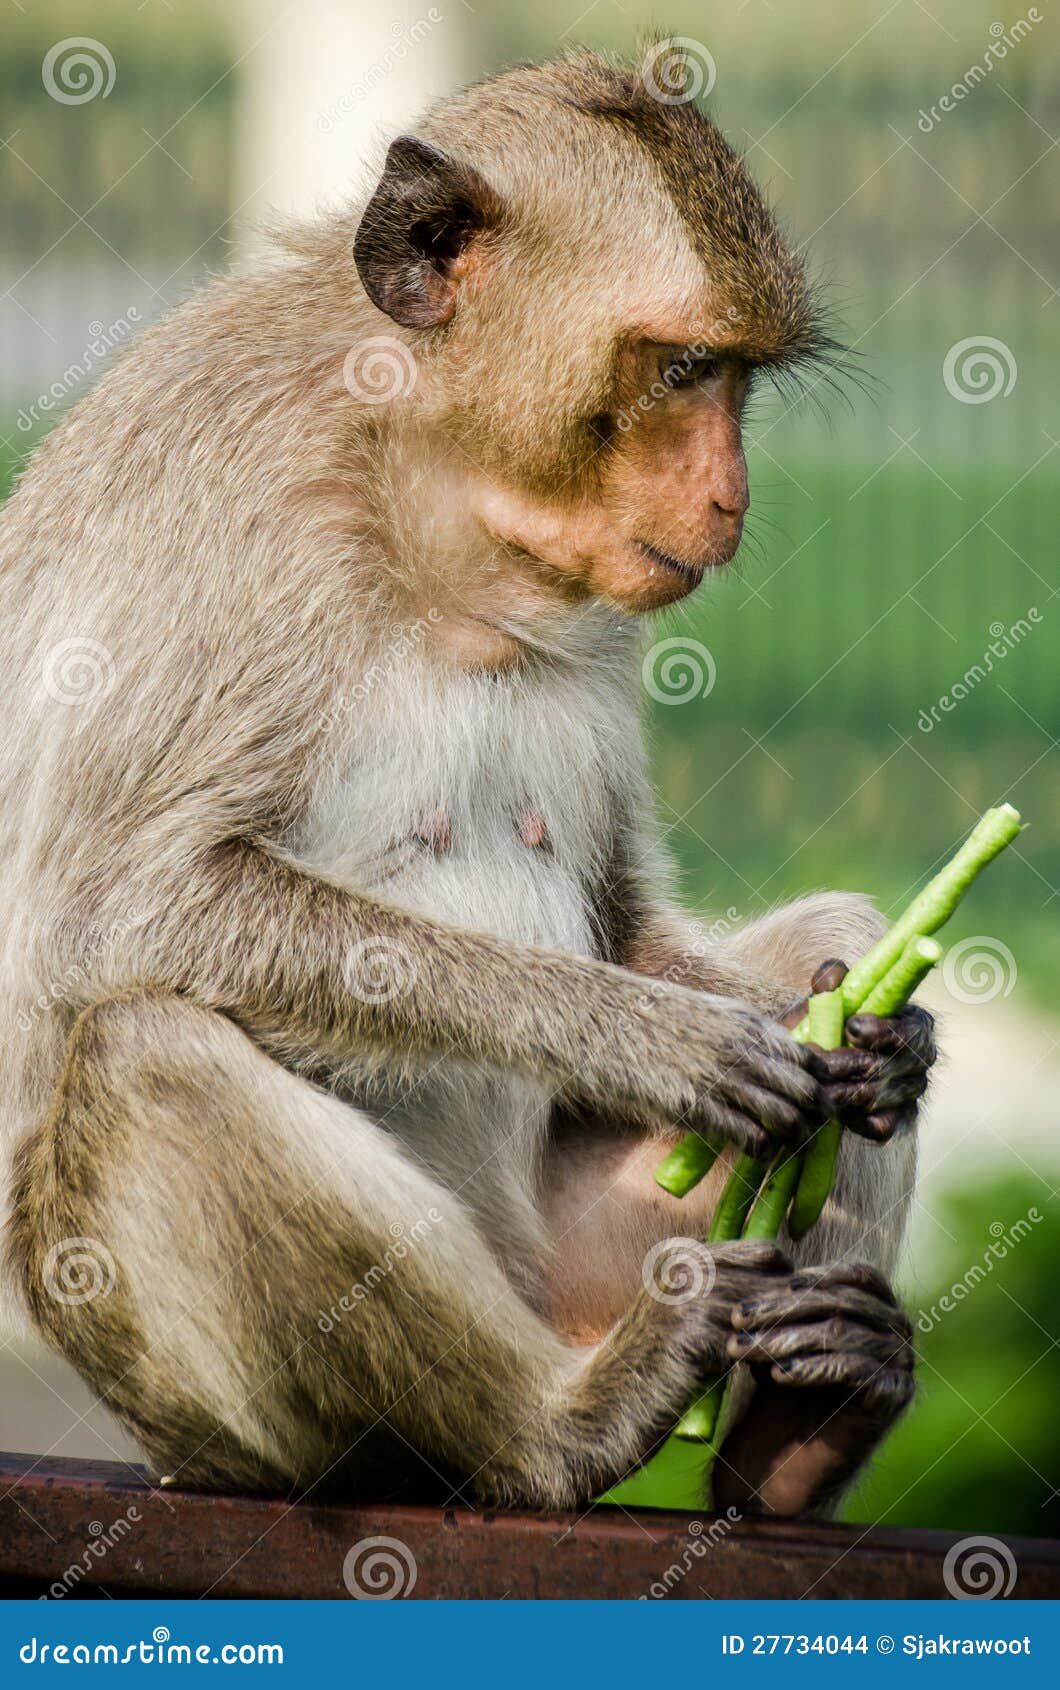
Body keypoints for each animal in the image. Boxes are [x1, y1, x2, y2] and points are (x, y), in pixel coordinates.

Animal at [0, 49, 936, 1518]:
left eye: (738, 379)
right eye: (685, 369)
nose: (730, 500)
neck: (427, 491)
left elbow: (625, 916)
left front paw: (883, 1043)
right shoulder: (229, 531)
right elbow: (104, 914)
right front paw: (651, 1037)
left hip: (594, 1249)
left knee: (843, 933)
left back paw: (796, 1431)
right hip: (216, 1409)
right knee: (148, 1053)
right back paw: (566, 1430)